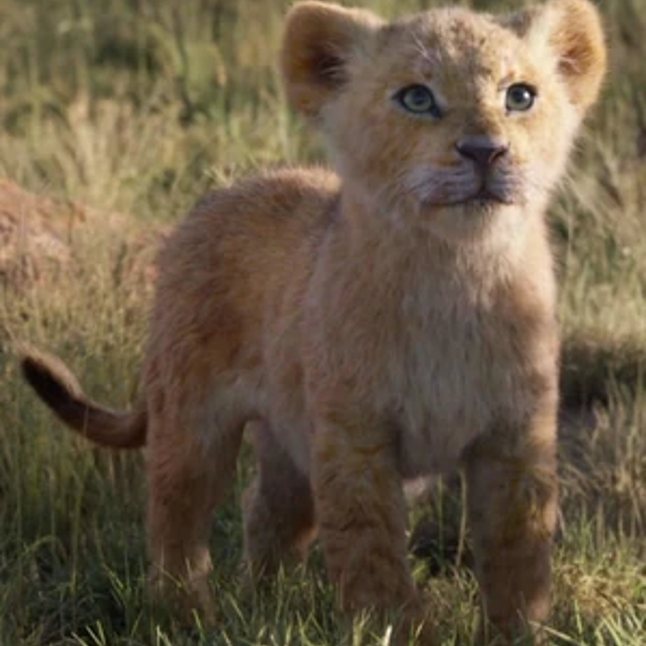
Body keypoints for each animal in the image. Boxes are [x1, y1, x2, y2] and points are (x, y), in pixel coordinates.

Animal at [20, 0, 606, 643]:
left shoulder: (517, 435)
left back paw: (263, 606)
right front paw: (395, 628)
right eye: (417, 98)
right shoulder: (354, 434)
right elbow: (370, 549)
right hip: (191, 416)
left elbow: (518, 550)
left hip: (289, 437)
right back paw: (189, 616)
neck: (457, 272)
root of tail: (222, 194)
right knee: (176, 517)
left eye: (520, 96)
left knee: (266, 512)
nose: (485, 151)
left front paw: (522, 632)